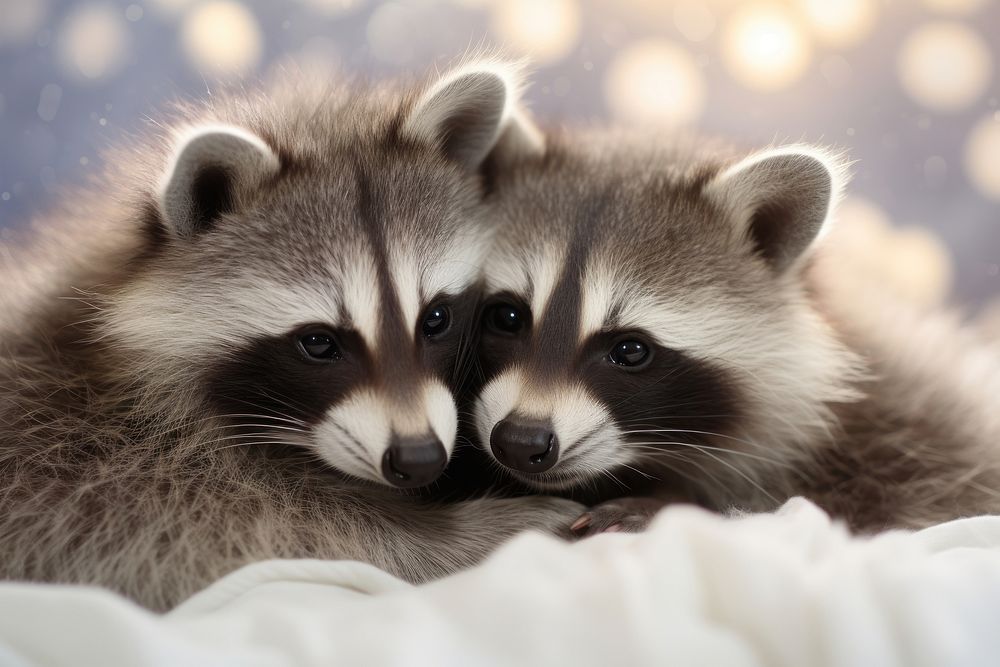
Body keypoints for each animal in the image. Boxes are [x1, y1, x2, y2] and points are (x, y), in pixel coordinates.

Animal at [0, 62, 582, 611]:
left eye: (436, 318)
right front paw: (463, 533)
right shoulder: (110, 479)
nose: (419, 459)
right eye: (319, 343)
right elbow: (287, 532)